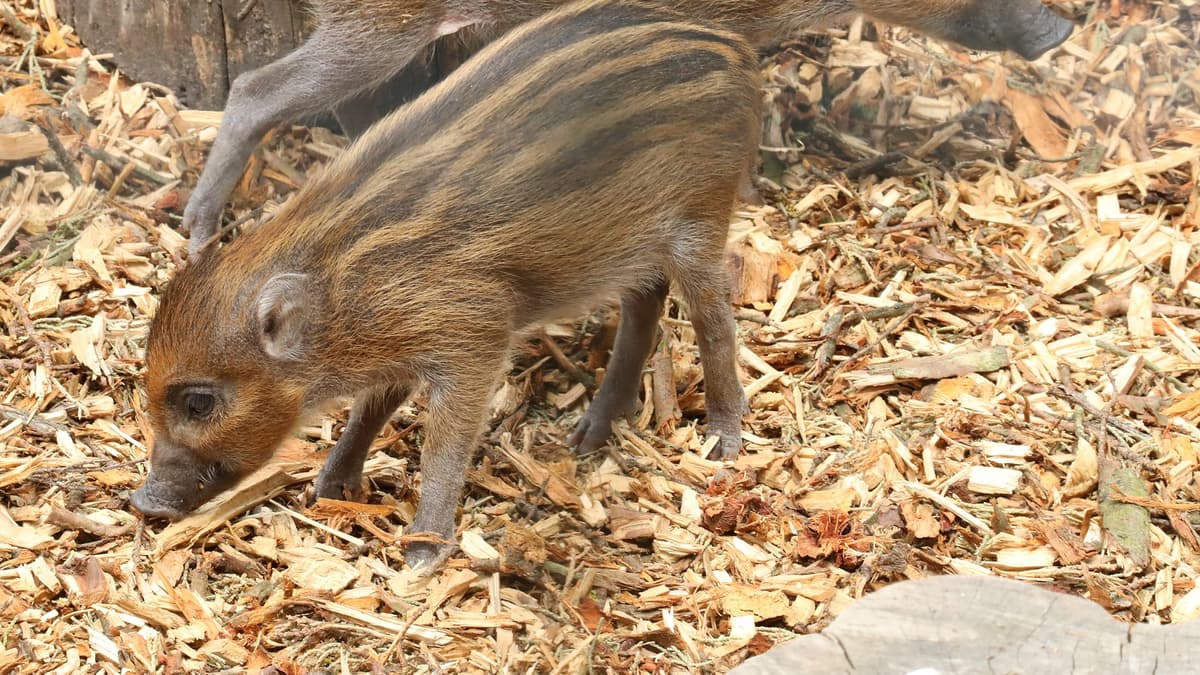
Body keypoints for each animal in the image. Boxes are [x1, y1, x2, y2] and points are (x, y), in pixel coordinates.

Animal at [132, 0, 761, 569]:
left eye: (199, 402)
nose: (144, 502)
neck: (344, 287)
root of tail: (738, 52)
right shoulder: (405, 346)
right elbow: (370, 410)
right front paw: (329, 488)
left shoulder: (474, 335)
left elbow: (444, 447)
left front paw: (422, 554)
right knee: (646, 301)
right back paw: (587, 435)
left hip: (701, 216)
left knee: (713, 321)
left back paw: (724, 442)